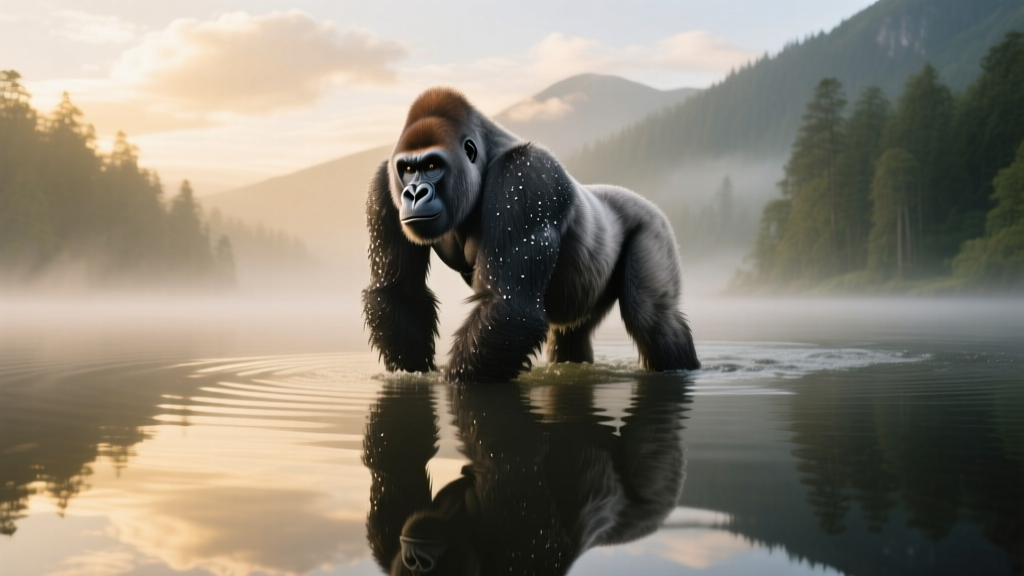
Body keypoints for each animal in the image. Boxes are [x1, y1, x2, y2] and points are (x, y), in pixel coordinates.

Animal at [362, 87, 699, 383]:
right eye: (407, 169)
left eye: (433, 165)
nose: (413, 193)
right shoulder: (384, 183)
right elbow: (400, 292)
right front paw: (412, 371)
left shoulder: (526, 175)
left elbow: (510, 307)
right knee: (571, 334)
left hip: (654, 226)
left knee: (653, 320)